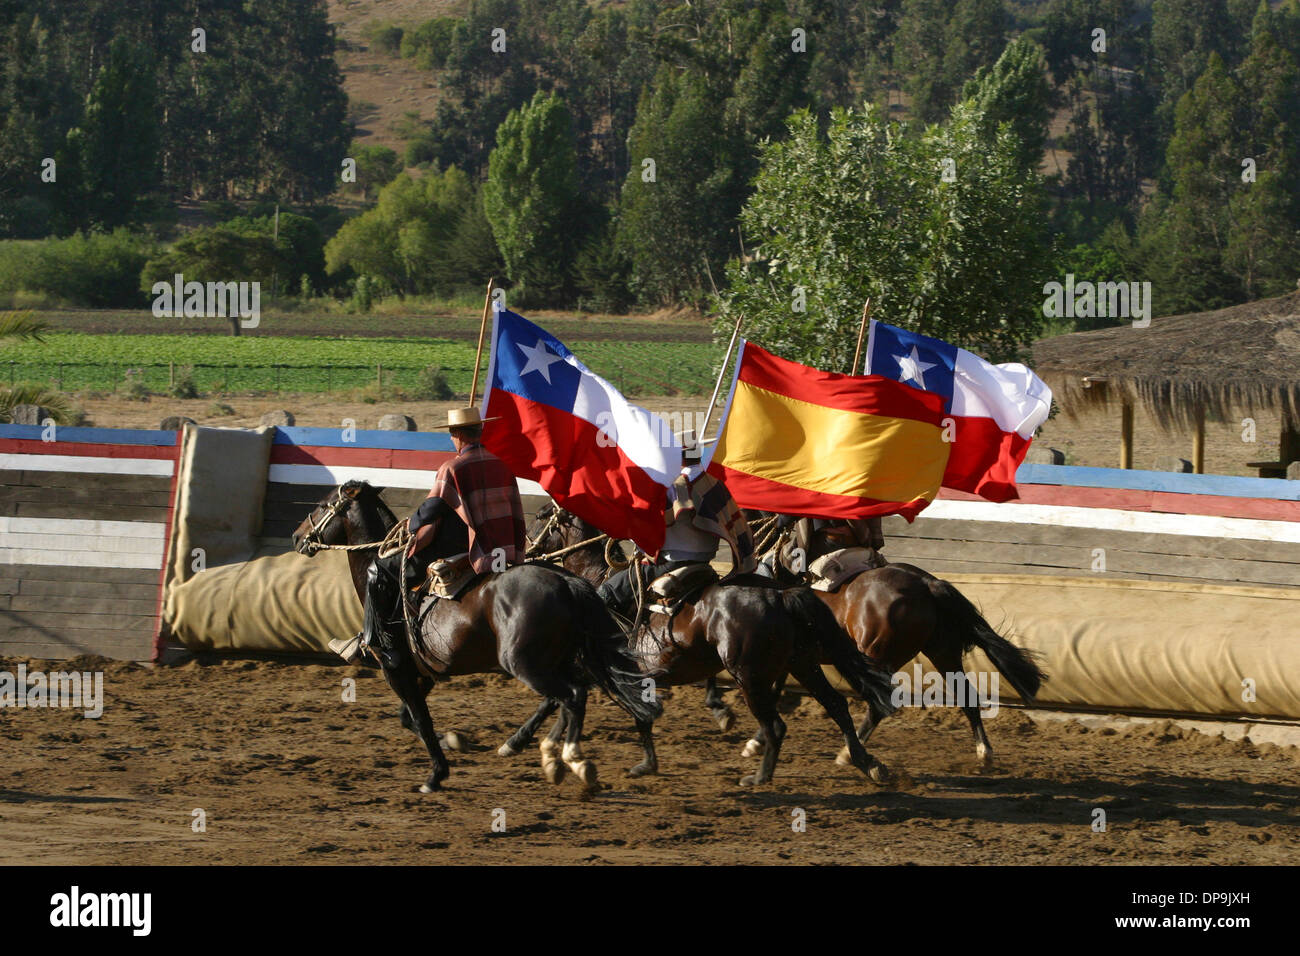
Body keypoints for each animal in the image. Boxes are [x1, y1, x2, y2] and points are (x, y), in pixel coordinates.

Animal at [291, 480, 660, 793]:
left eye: (323, 504)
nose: (297, 536)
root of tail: (567, 582)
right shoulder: (424, 672)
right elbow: (410, 718)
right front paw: (454, 741)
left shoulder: (395, 670)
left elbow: (419, 719)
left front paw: (436, 774)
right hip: (559, 660)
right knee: (571, 696)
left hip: (528, 665)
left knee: (572, 696)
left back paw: (567, 759)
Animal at [523, 503, 899, 787]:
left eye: (541, 515)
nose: (526, 549)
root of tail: (781, 595)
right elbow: (623, 712)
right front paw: (644, 764)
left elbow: (562, 701)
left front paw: (531, 745)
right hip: (802, 663)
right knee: (837, 705)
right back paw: (869, 764)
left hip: (750, 677)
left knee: (776, 725)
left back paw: (759, 776)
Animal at [745, 511, 1046, 769]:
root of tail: (926, 583)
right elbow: (775, 689)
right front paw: (756, 742)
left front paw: (754, 742)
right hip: (943, 653)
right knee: (966, 697)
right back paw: (985, 753)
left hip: (878, 655)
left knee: (880, 703)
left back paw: (848, 754)